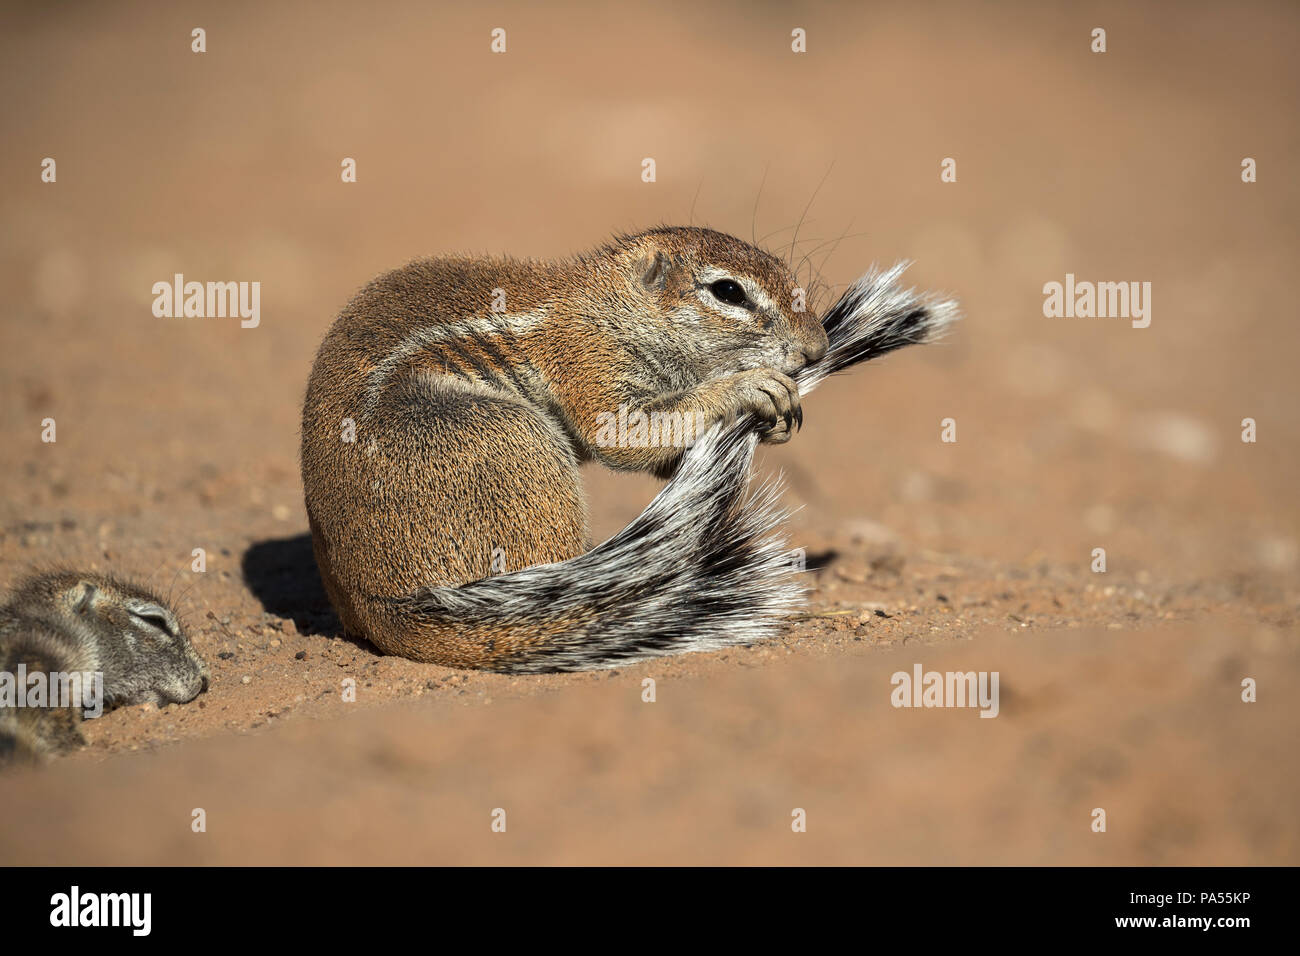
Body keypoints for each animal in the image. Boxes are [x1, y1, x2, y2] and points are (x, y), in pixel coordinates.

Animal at [301, 226, 956, 673]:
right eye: (727, 291)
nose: (815, 349)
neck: (610, 308)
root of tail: (383, 610)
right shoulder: (592, 369)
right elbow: (621, 436)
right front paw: (745, 388)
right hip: (508, 443)